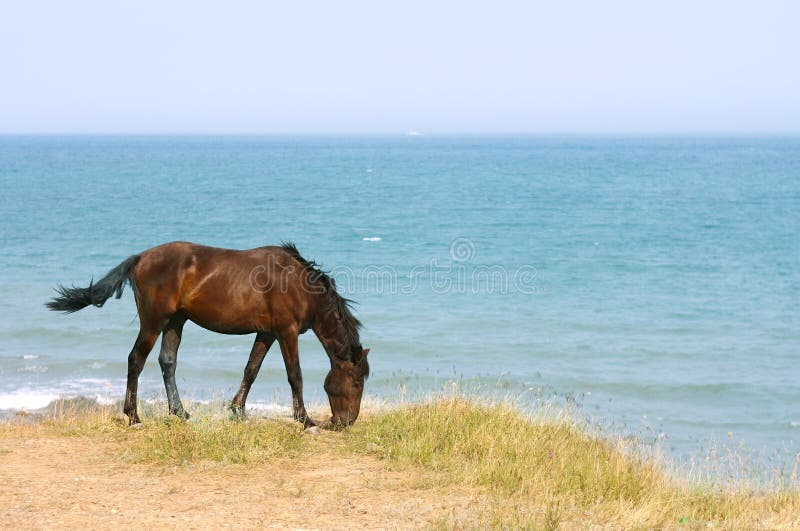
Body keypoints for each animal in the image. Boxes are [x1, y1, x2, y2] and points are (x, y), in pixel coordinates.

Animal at [46, 241, 370, 428]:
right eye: (356, 382)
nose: (346, 422)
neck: (297, 284)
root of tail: (140, 259)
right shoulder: (286, 331)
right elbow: (295, 375)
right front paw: (305, 421)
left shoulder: (266, 333)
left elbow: (251, 369)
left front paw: (238, 411)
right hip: (153, 322)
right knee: (135, 360)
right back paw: (134, 417)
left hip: (176, 321)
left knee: (167, 362)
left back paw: (180, 412)